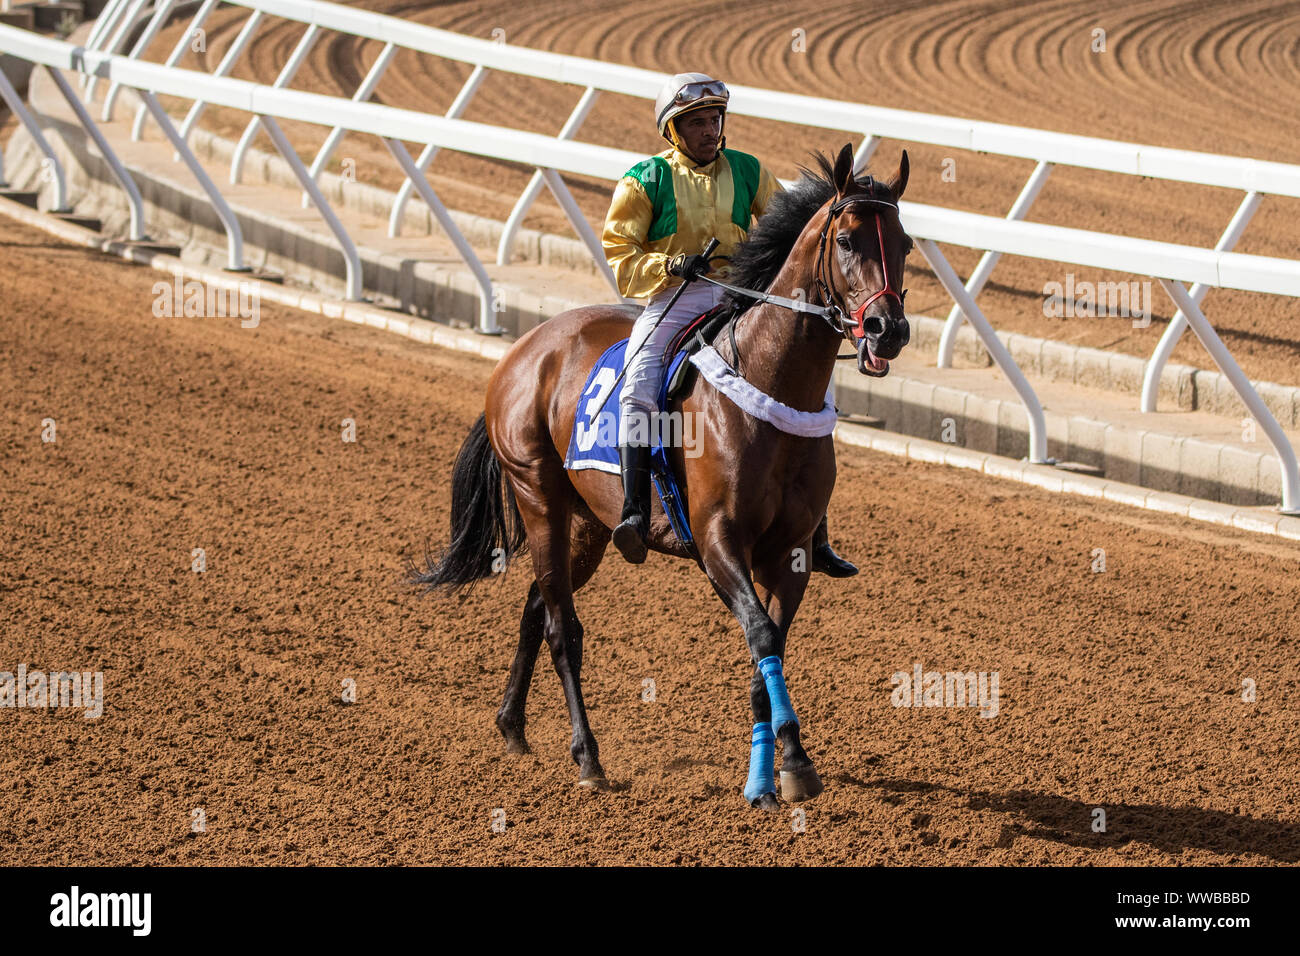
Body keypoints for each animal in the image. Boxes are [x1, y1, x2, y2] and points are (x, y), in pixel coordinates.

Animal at [413, 142, 912, 810]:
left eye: (905, 243)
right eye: (850, 240)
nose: (890, 328)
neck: (766, 381)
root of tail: (524, 349)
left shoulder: (792, 552)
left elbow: (770, 647)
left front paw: (778, 766)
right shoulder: (718, 540)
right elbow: (760, 635)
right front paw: (788, 765)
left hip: (587, 526)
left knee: (538, 604)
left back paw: (512, 726)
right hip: (537, 495)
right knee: (563, 627)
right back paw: (588, 757)